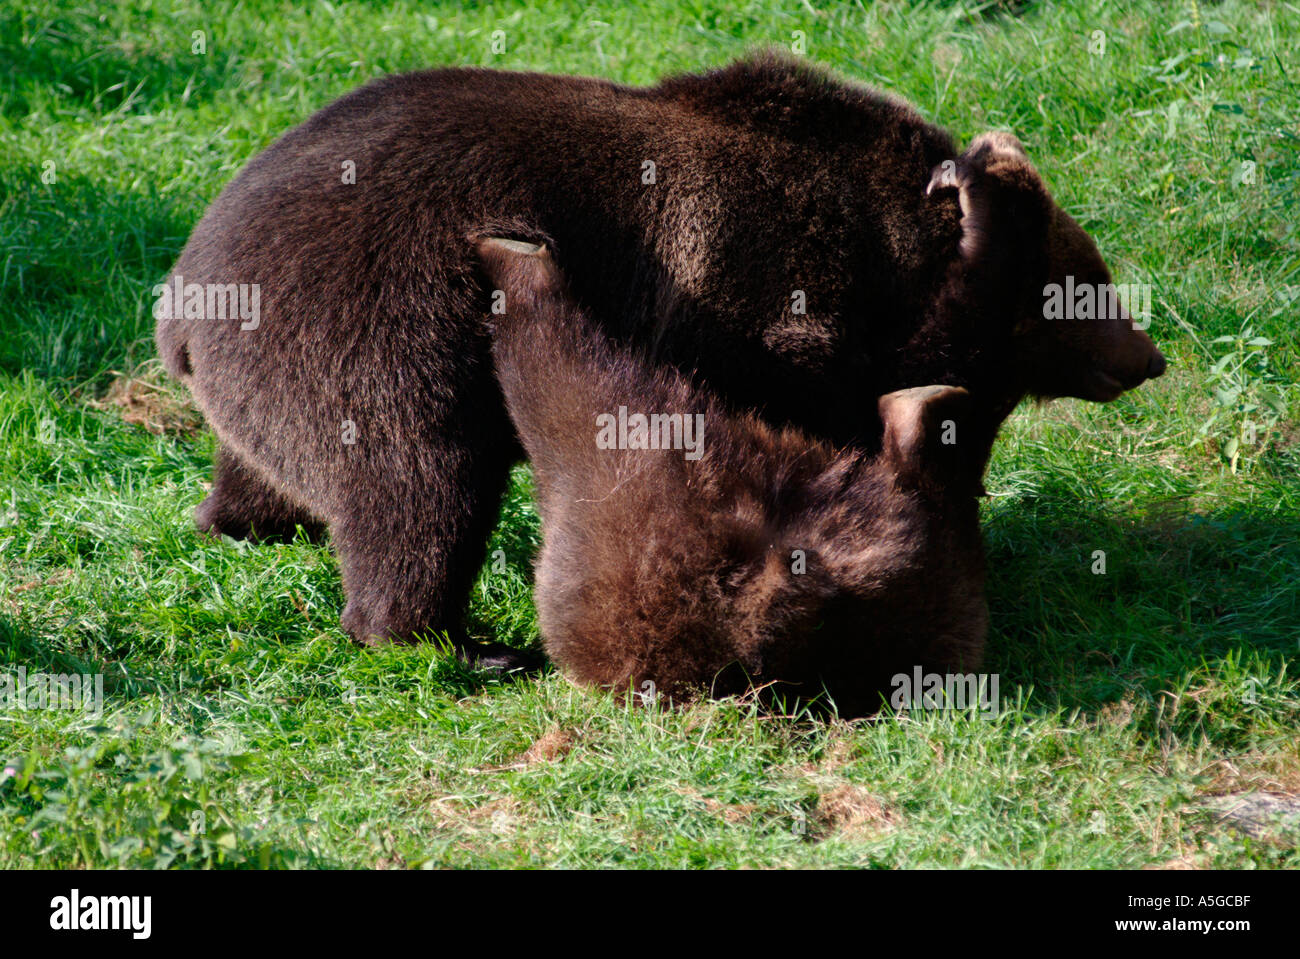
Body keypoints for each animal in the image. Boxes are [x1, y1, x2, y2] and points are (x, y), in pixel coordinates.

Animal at [154, 52, 1164, 665]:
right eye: (1087, 283)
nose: (1148, 355)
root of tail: (181, 304)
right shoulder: (763, 312)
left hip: (276, 372)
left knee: (272, 469)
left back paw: (241, 520)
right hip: (371, 318)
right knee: (420, 480)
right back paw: (458, 639)